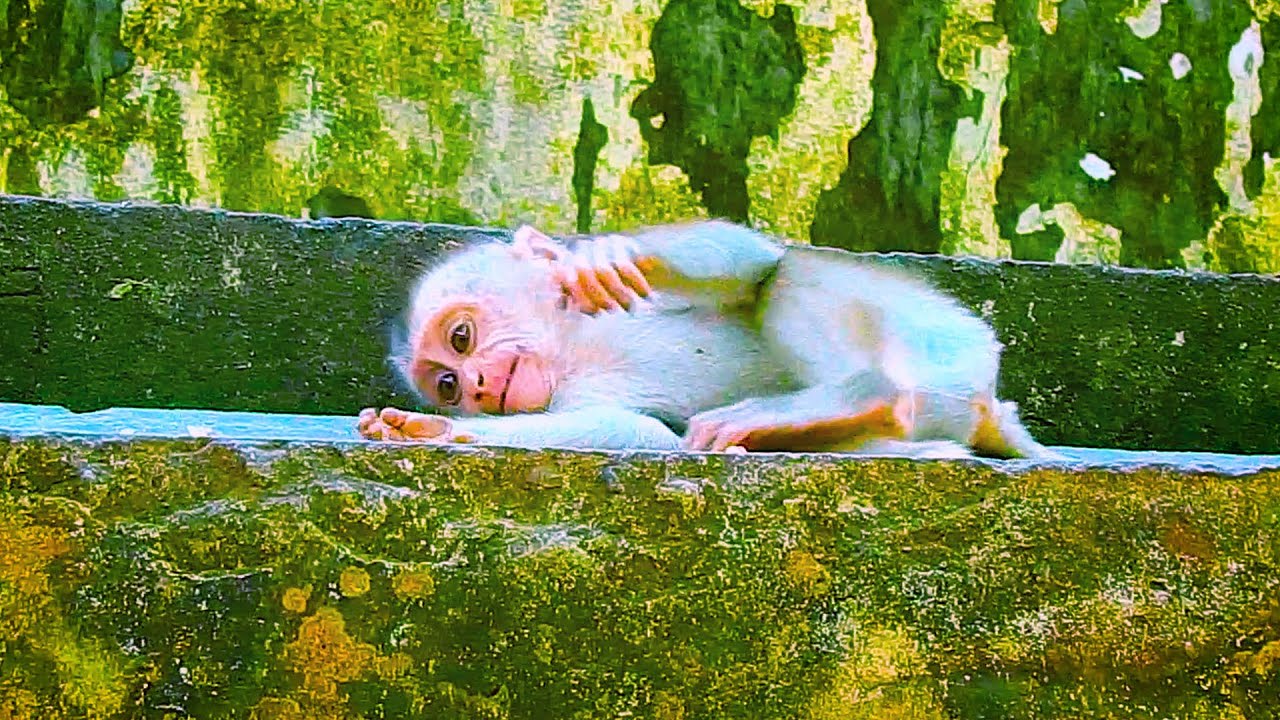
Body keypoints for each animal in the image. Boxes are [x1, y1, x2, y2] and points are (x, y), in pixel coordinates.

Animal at [358, 221, 1058, 460]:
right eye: (447, 384)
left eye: (461, 336)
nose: (475, 388)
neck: (572, 348)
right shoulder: (566, 398)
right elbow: (636, 430)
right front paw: (440, 430)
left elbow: (748, 259)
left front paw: (604, 260)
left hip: (946, 341)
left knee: (789, 278)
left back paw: (864, 391)